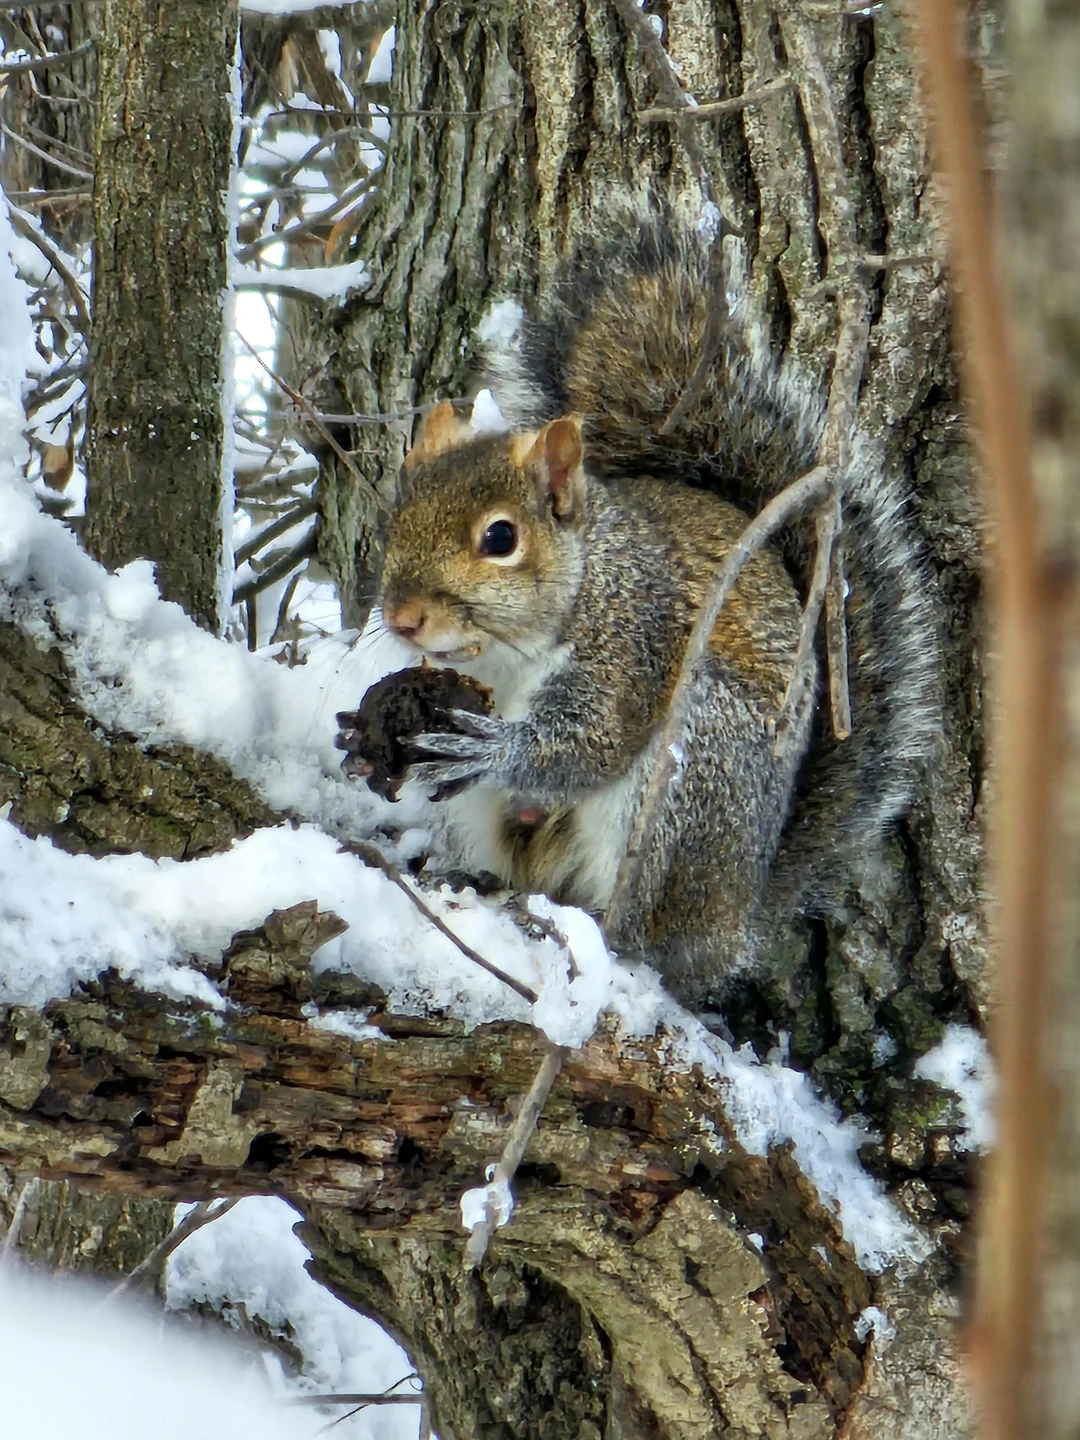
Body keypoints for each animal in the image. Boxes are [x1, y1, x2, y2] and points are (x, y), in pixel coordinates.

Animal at [359, 207, 940, 1008]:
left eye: (500, 538)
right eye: (394, 519)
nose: (405, 618)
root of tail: (737, 926)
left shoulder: (635, 636)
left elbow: (588, 742)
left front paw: (493, 749)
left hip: (690, 775)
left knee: (648, 936)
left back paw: (618, 941)